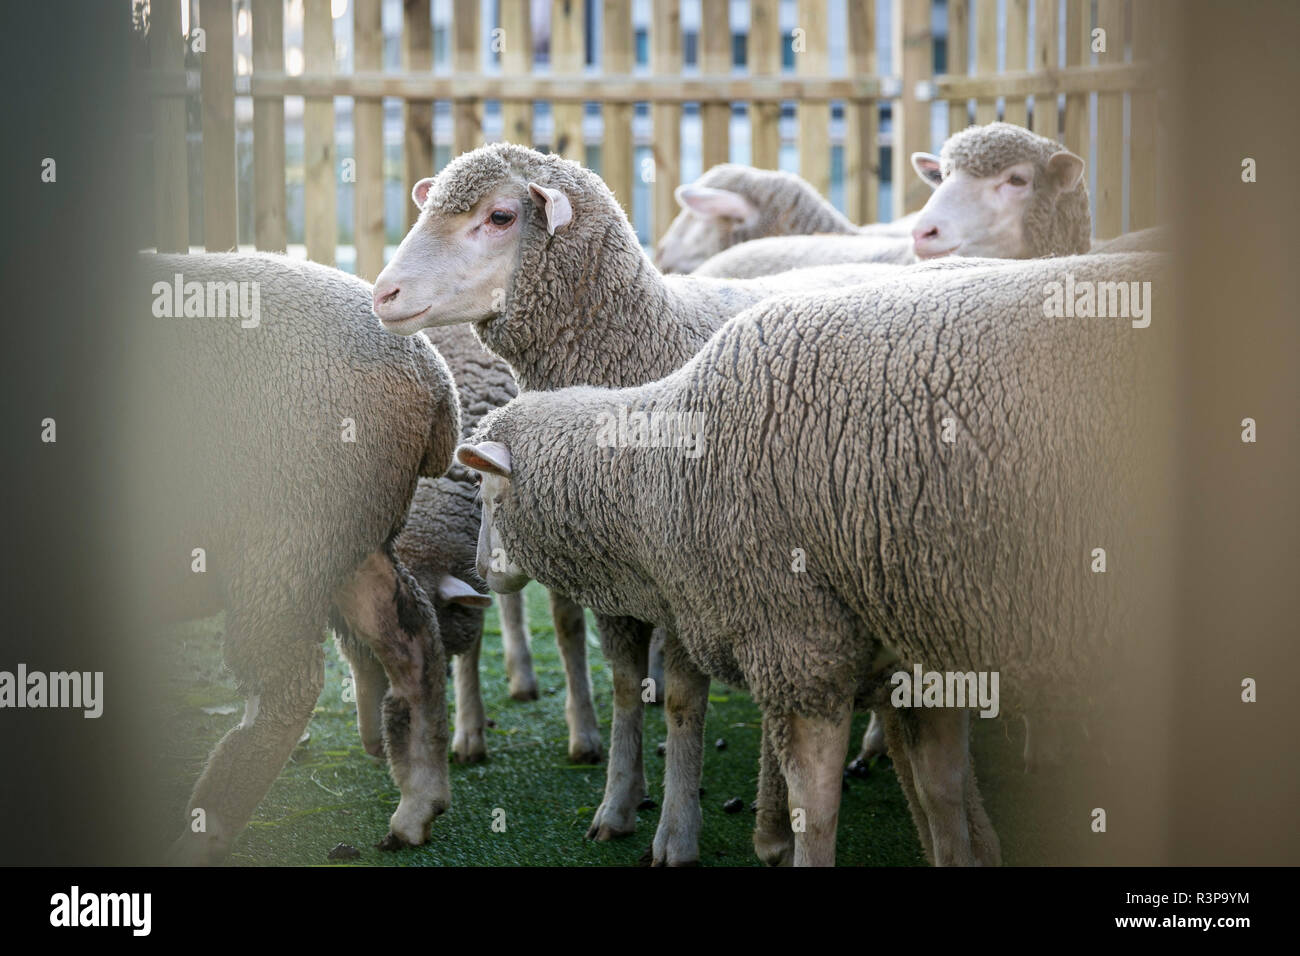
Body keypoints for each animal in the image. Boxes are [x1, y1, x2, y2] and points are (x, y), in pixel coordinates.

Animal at [137, 253, 462, 863]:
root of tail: (431, 374)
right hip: (349, 538)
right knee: (410, 637)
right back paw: (417, 803)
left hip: (287, 532)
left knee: (285, 684)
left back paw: (202, 832)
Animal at [457, 250, 1167, 865]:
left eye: (489, 494)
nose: (480, 573)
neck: (655, 477)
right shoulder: (920, 644)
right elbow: (939, 793)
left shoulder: (801, 644)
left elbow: (817, 807)